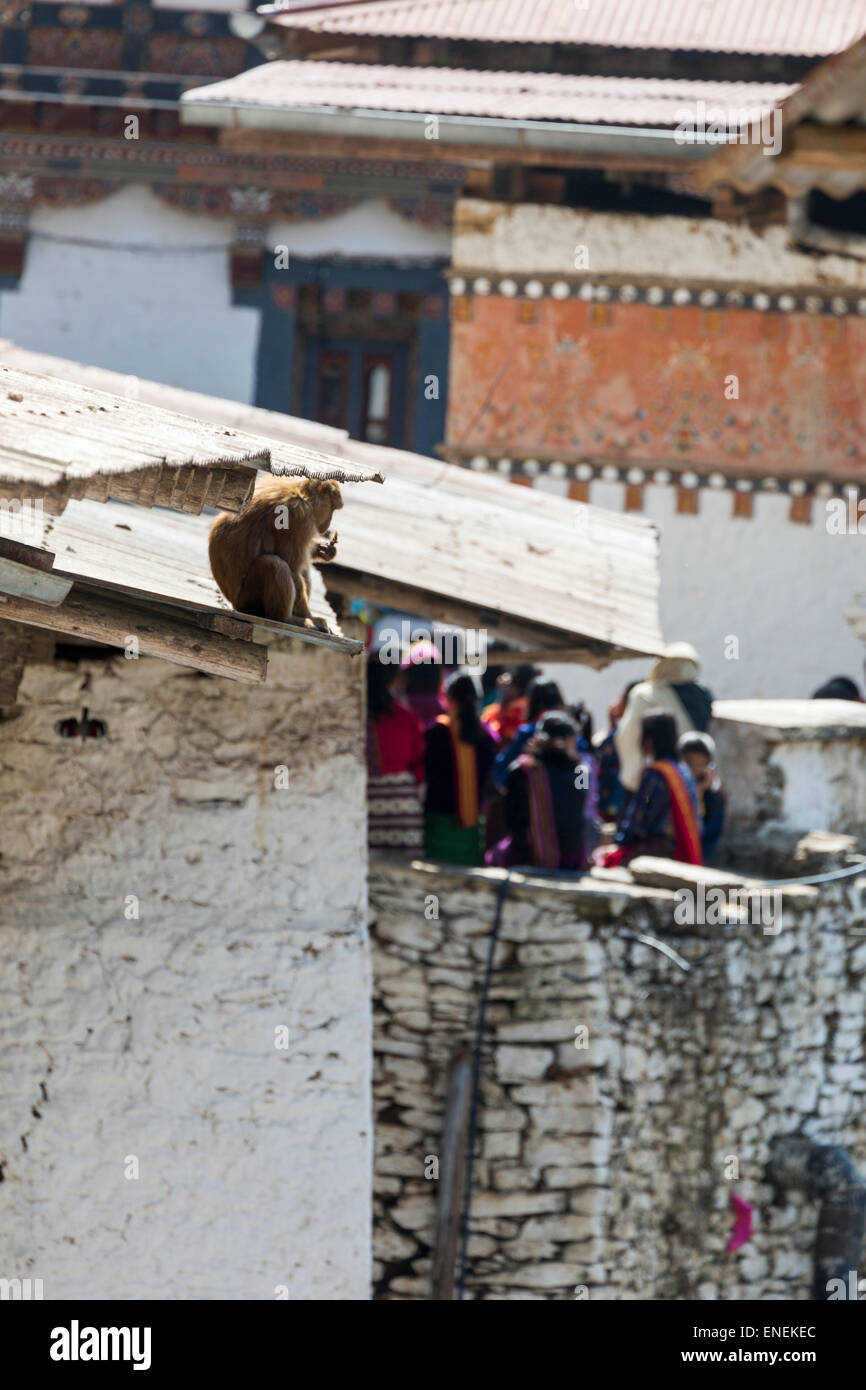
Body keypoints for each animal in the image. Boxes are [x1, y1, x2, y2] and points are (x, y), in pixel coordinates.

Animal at [208, 475, 343, 632]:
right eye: (332, 509)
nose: (328, 524)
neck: (301, 493)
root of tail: (235, 603)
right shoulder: (299, 516)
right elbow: (293, 570)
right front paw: (311, 618)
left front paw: (325, 550)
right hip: (249, 600)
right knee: (274, 564)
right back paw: (287, 619)